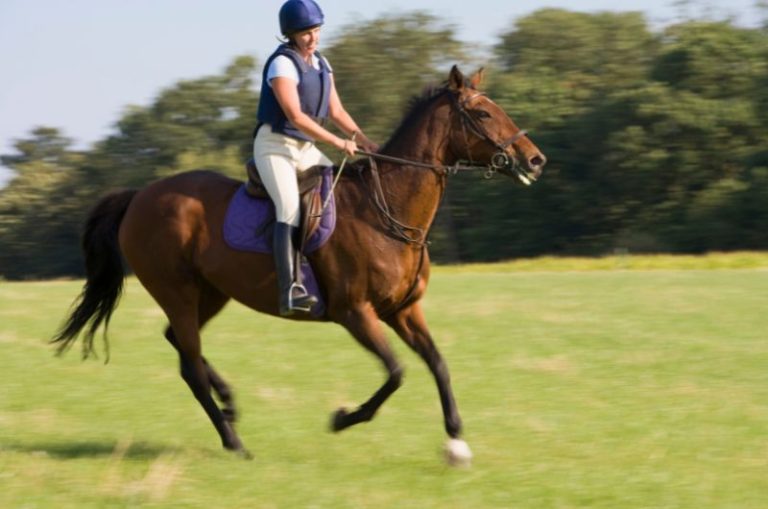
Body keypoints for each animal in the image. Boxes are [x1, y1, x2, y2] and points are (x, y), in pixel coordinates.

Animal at [53, 65, 546, 464]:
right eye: (483, 114)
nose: (535, 159)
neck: (387, 209)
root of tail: (139, 196)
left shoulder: (403, 310)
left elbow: (438, 364)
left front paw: (456, 442)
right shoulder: (356, 313)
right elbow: (396, 373)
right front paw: (343, 417)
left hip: (210, 293)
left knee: (178, 343)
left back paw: (230, 401)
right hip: (177, 291)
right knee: (189, 364)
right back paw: (234, 442)